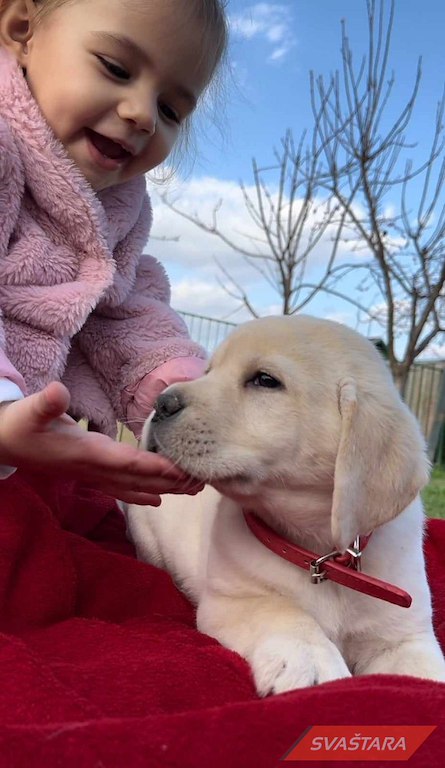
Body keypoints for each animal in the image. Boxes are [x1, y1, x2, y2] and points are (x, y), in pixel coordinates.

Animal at [125, 316, 444, 692]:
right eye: (209, 370)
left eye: (265, 380)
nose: (160, 404)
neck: (320, 555)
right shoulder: (232, 601)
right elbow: (282, 612)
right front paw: (311, 660)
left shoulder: (403, 636)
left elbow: (424, 670)